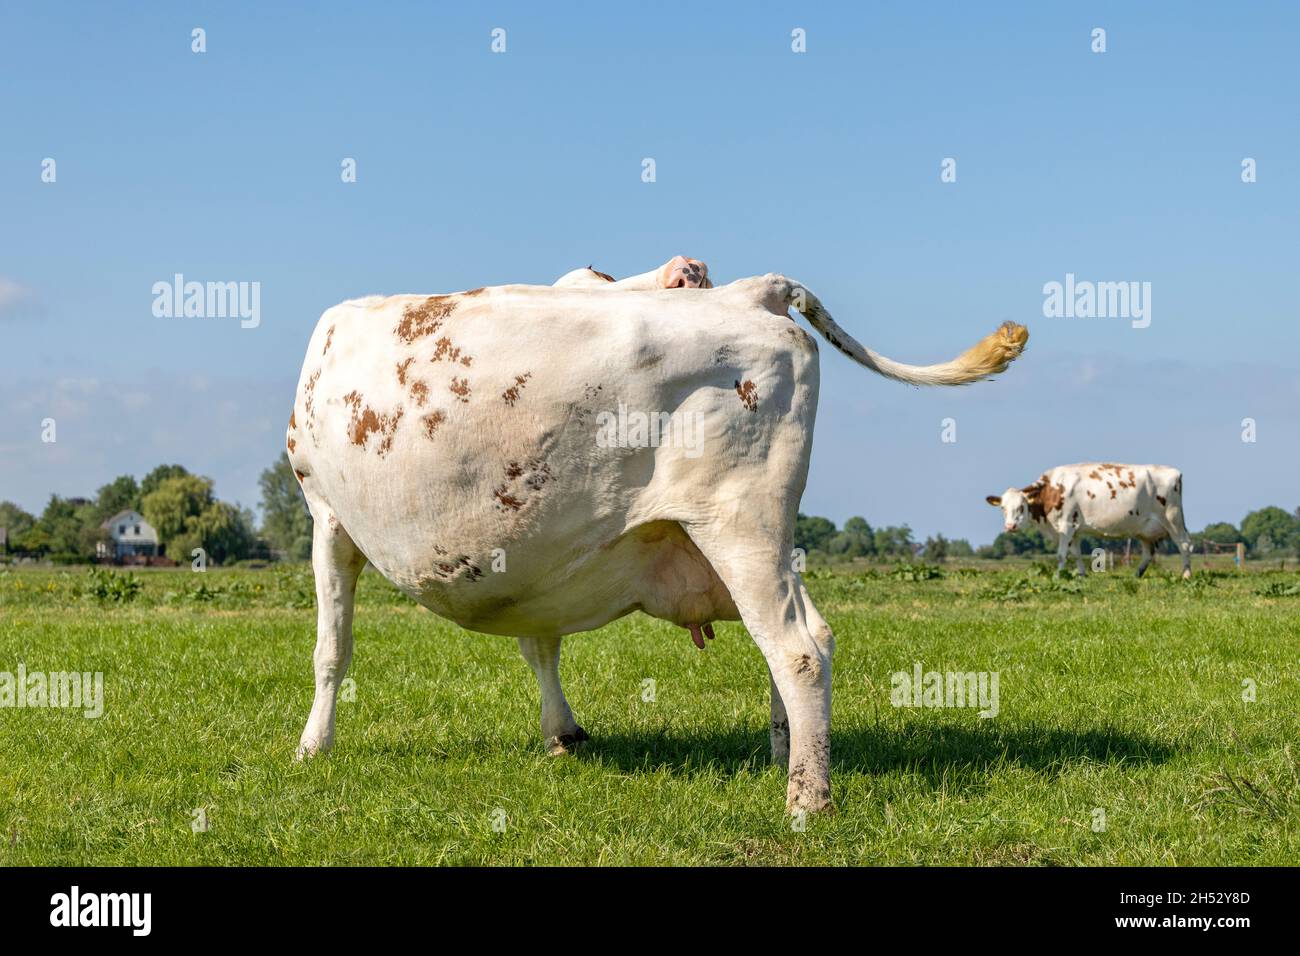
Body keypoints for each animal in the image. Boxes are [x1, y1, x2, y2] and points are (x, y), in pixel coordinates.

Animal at [286, 261, 1029, 813]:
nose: (682, 271)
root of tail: (754, 290)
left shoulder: (326, 515)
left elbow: (330, 650)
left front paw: (312, 748)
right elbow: (538, 641)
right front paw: (562, 733)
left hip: (739, 518)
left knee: (800, 649)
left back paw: (807, 800)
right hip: (763, 535)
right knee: (787, 644)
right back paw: (785, 757)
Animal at [986, 463, 1193, 578]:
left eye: (1021, 507)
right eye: (1003, 508)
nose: (1010, 526)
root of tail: (1174, 472)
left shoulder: (1066, 525)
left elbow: (1061, 554)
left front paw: (1058, 576)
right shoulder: (1074, 529)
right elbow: (1076, 553)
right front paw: (1082, 574)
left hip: (1173, 519)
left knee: (1185, 545)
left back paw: (1186, 575)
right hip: (1145, 528)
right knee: (1148, 552)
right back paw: (1137, 574)